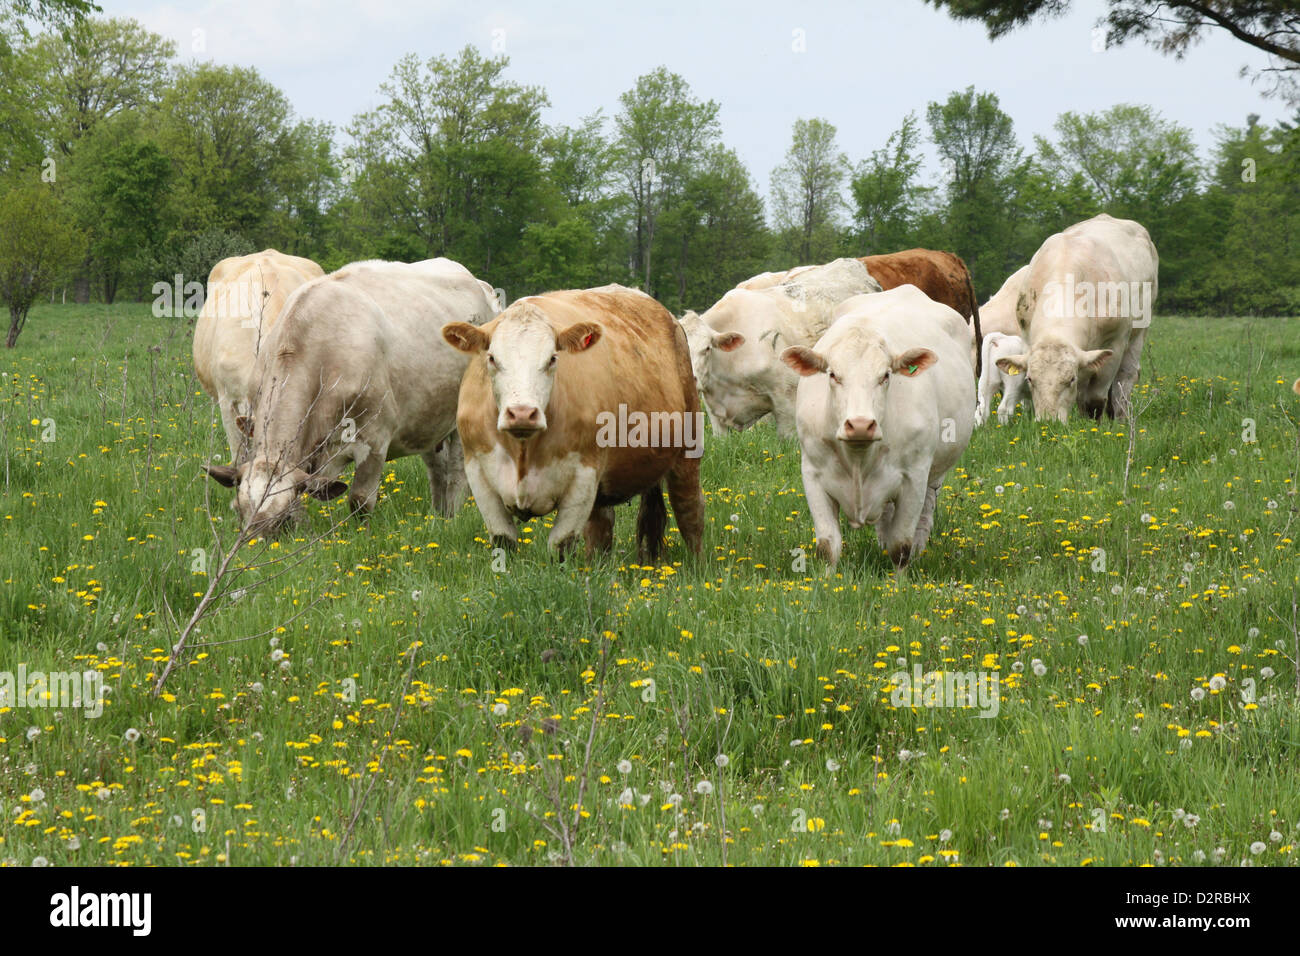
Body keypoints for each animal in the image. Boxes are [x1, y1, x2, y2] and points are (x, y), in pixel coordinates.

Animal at [202, 258, 500, 534]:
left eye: (283, 517)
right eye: (238, 509)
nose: (251, 544)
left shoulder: (375, 439)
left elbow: (360, 500)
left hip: (461, 421)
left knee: (456, 475)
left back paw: (451, 519)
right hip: (429, 419)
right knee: (437, 471)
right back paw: (438, 518)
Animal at [442, 284, 704, 561]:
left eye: (552, 359)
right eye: (492, 358)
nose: (522, 413)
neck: (524, 450)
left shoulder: (584, 476)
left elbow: (562, 544)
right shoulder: (478, 473)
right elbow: (504, 541)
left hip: (688, 450)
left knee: (690, 511)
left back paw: (697, 565)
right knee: (603, 527)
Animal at [780, 284, 974, 570]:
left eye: (885, 375)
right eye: (833, 374)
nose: (860, 424)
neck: (859, 458)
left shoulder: (914, 477)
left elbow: (901, 546)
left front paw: (899, 580)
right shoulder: (812, 474)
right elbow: (828, 546)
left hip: (935, 474)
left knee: (923, 519)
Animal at [996, 214, 1158, 422]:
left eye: (1070, 379)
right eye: (1030, 379)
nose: (1048, 422)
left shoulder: (1115, 344)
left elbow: (1095, 398)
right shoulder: (1027, 339)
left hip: (1138, 333)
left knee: (1124, 380)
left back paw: (1121, 418)